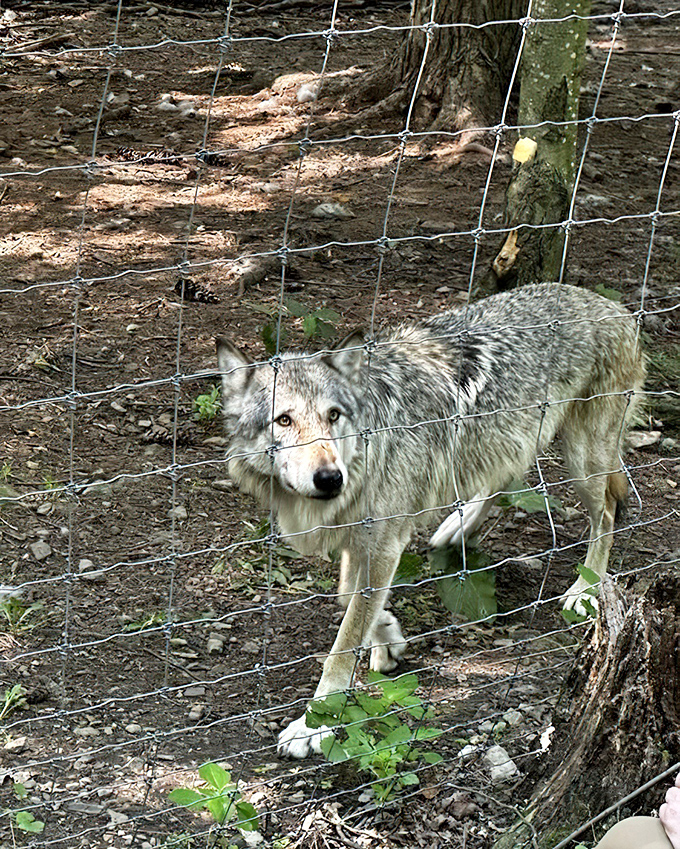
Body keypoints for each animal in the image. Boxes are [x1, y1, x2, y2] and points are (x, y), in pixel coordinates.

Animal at [216, 282, 645, 759]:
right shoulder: (363, 542)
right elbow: (349, 599)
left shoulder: (384, 543)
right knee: (504, 476)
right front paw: (388, 637)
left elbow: (342, 645)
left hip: (582, 461)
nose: (330, 479)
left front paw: (315, 725)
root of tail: (612, 305)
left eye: (333, 416)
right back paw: (457, 527)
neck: (367, 448)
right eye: (284, 420)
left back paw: (584, 588)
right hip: (508, 440)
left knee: (607, 512)